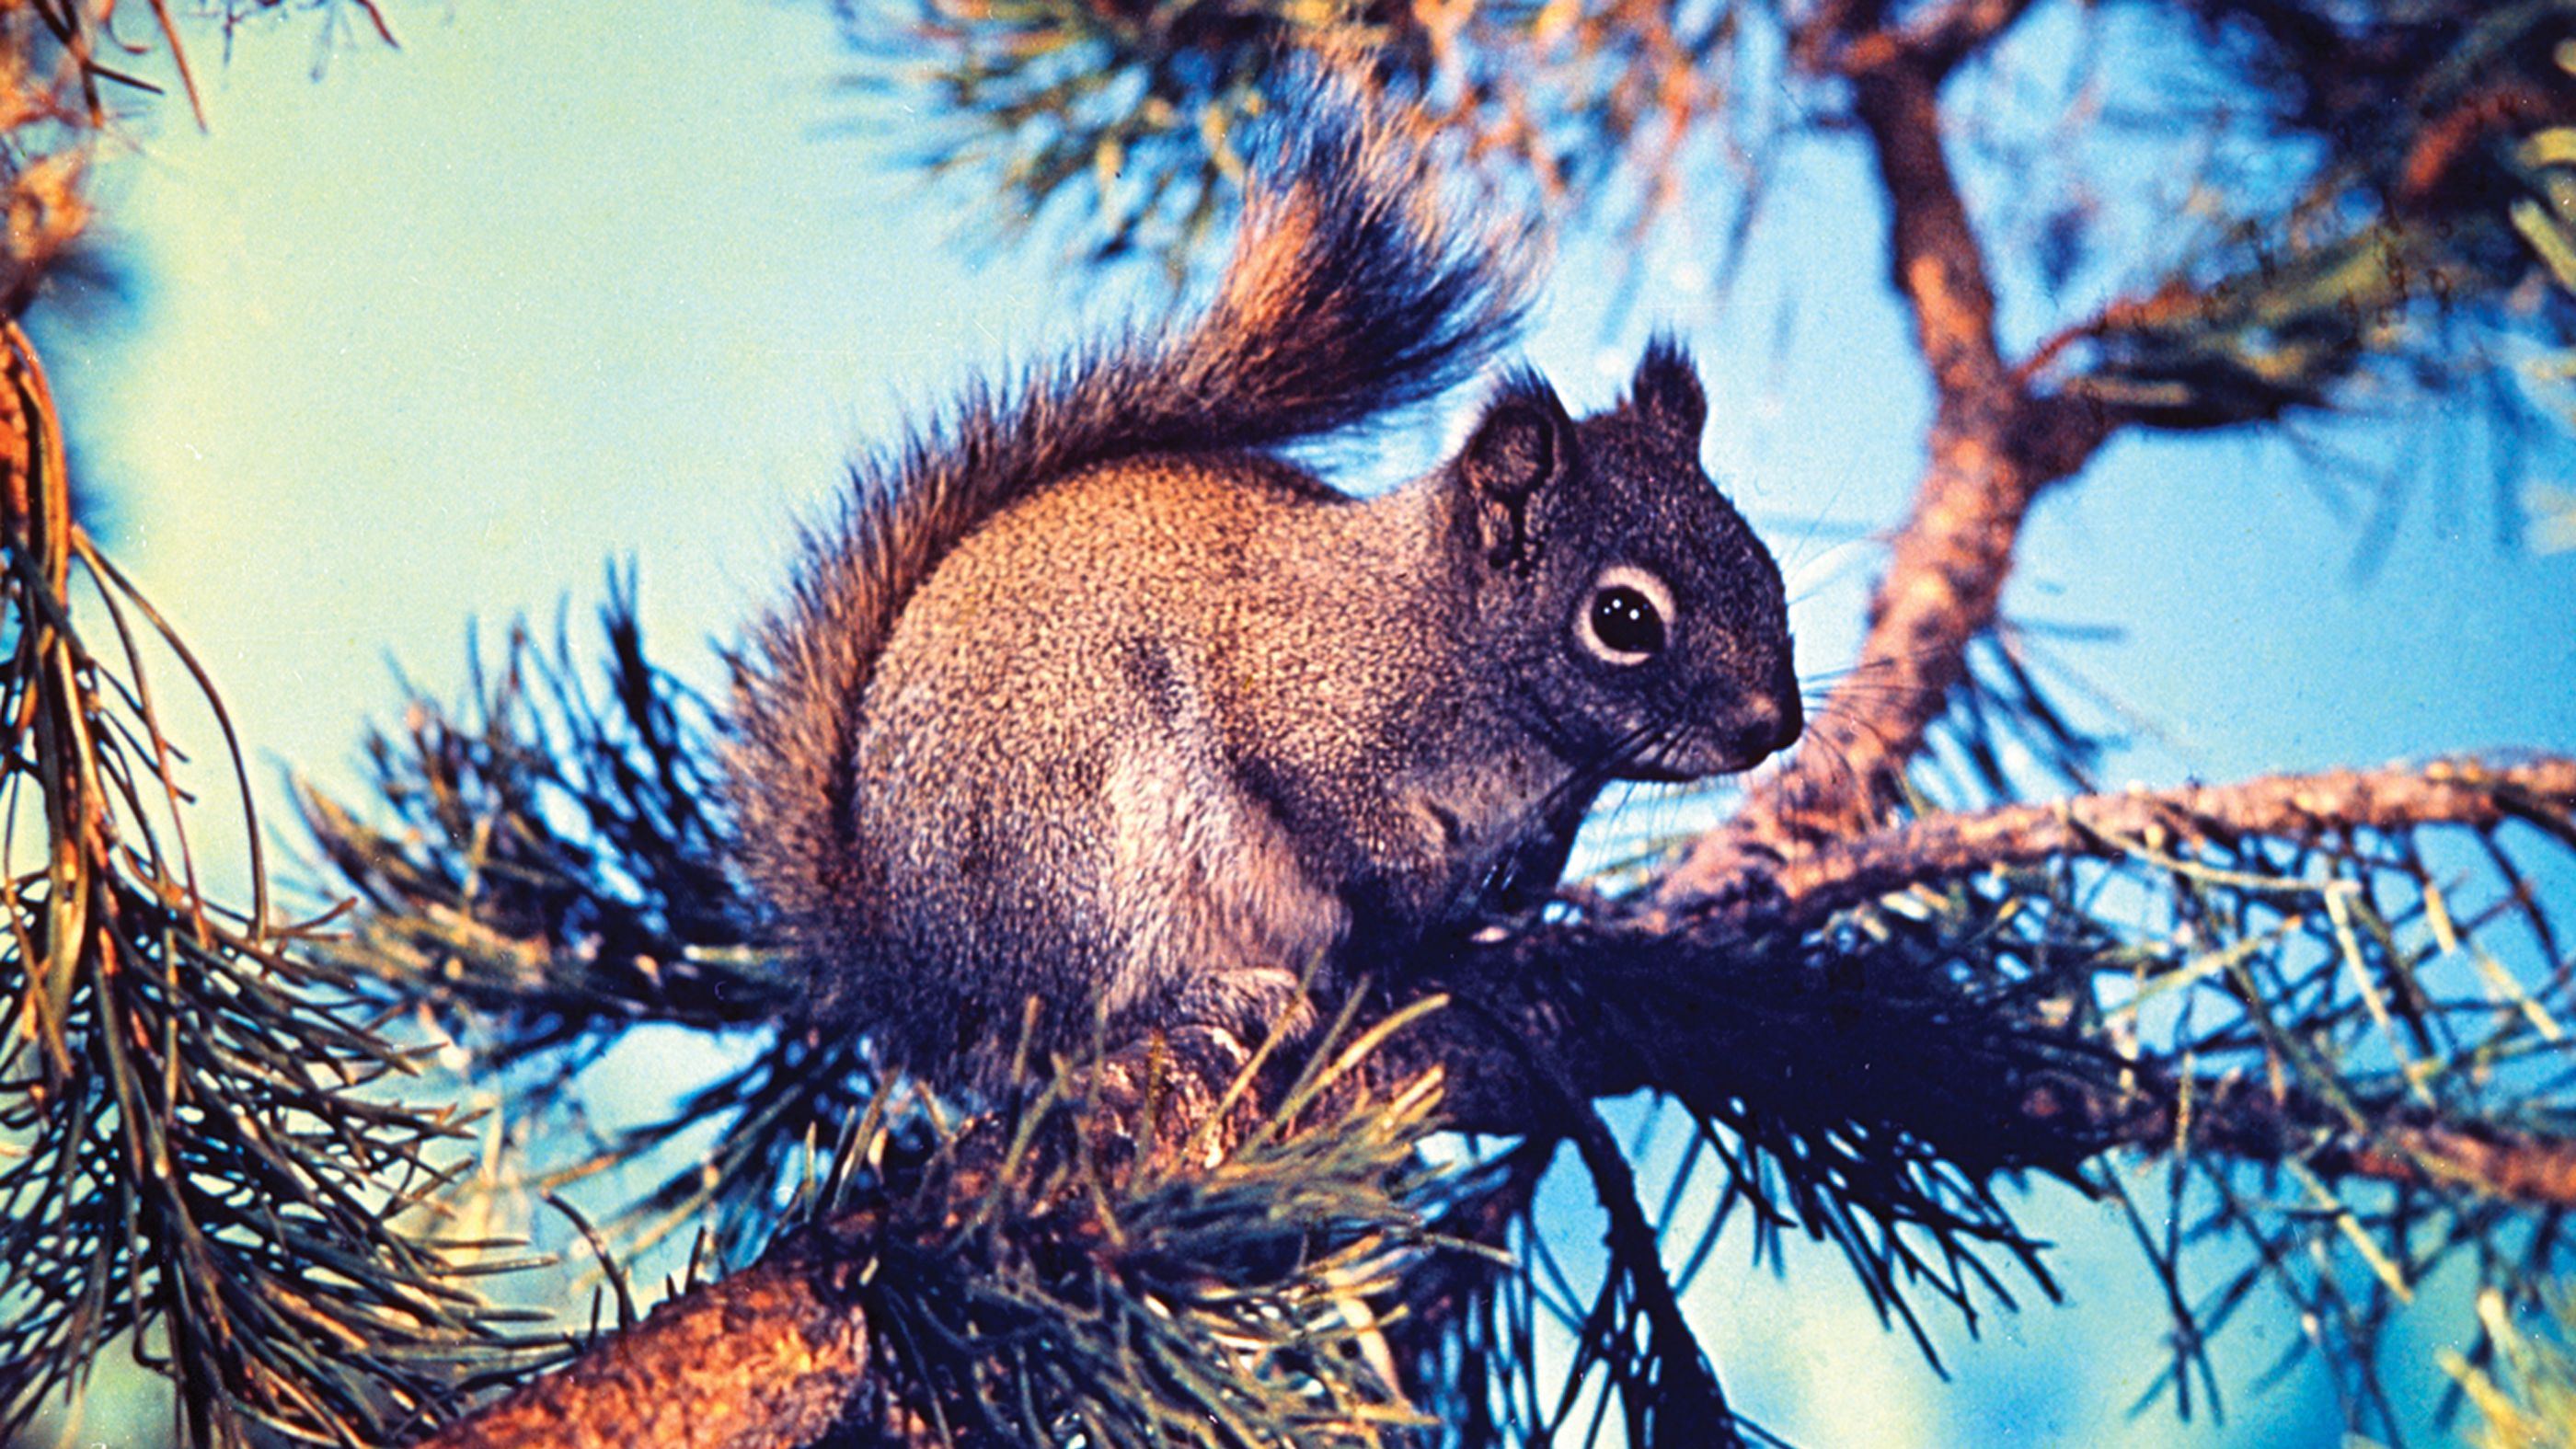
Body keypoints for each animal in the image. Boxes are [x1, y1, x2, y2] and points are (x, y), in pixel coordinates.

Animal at [724, 87, 1802, 1094]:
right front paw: (1415, 884)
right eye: (1622, 618)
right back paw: (1215, 996)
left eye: (1767, 564)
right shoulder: (1301, 699)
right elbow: (1333, 806)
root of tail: (910, 973)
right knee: (1063, 1036)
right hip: (1084, 864)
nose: (1775, 726)